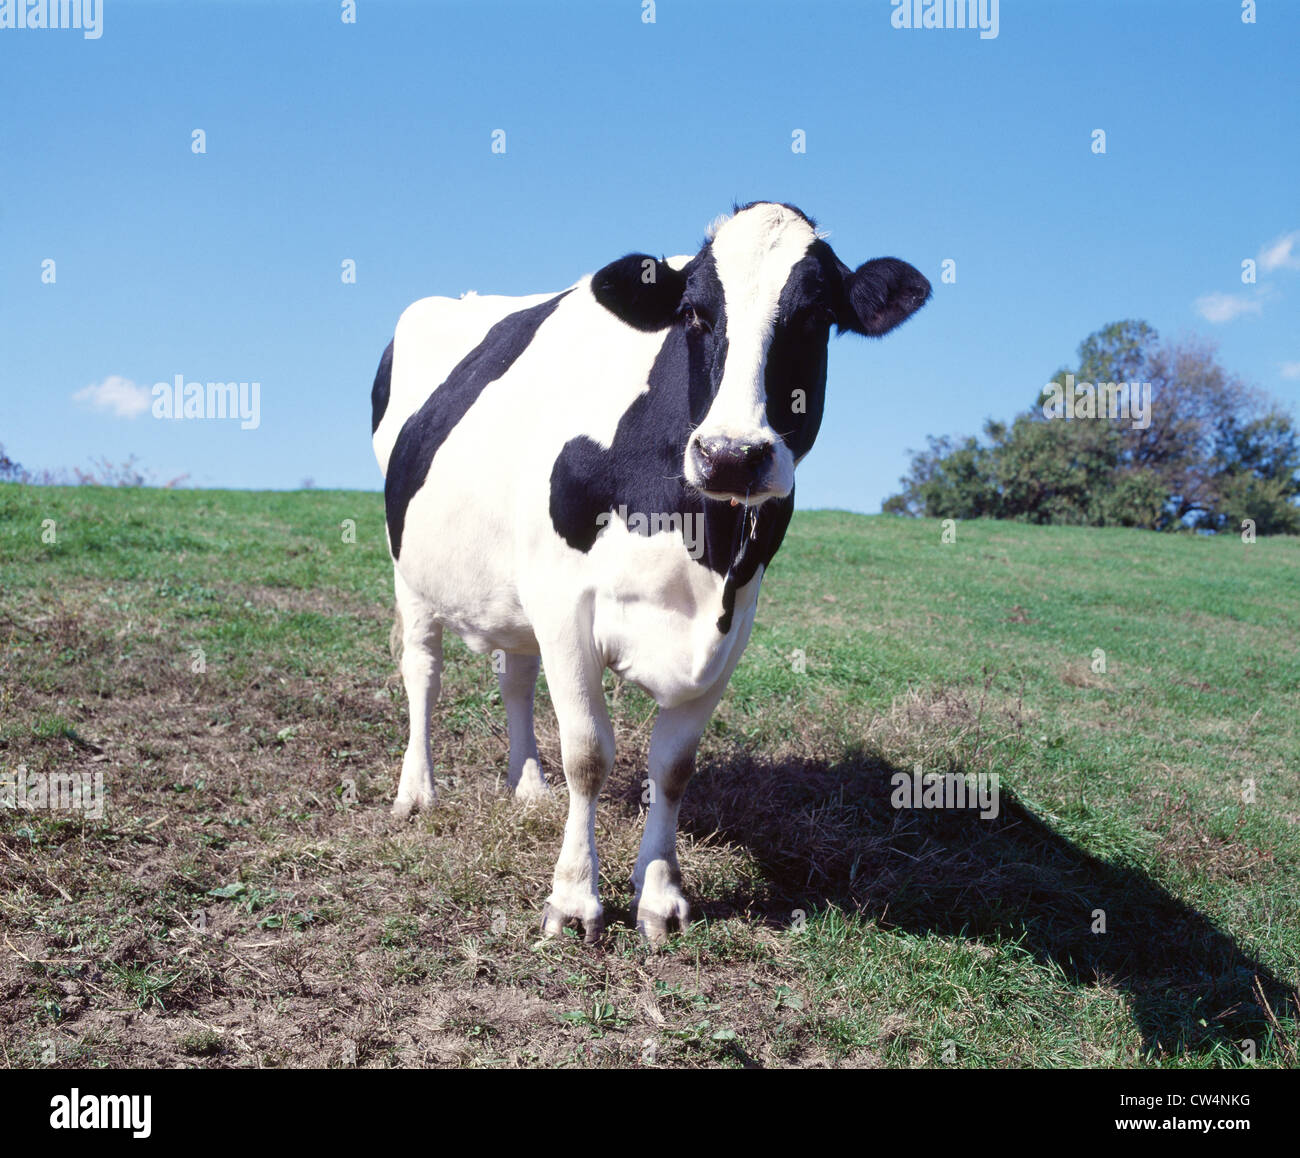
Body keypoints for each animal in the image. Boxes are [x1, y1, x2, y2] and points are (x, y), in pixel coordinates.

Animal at [370, 201, 930, 943]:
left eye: (816, 316)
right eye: (694, 312)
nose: (731, 455)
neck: (697, 539)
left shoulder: (734, 621)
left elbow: (673, 767)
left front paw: (660, 895)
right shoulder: (565, 601)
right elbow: (588, 754)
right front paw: (574, 898)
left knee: (514, 676)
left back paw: (528, 787)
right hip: (410, 570)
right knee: (423, 672)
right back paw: (417, 792)